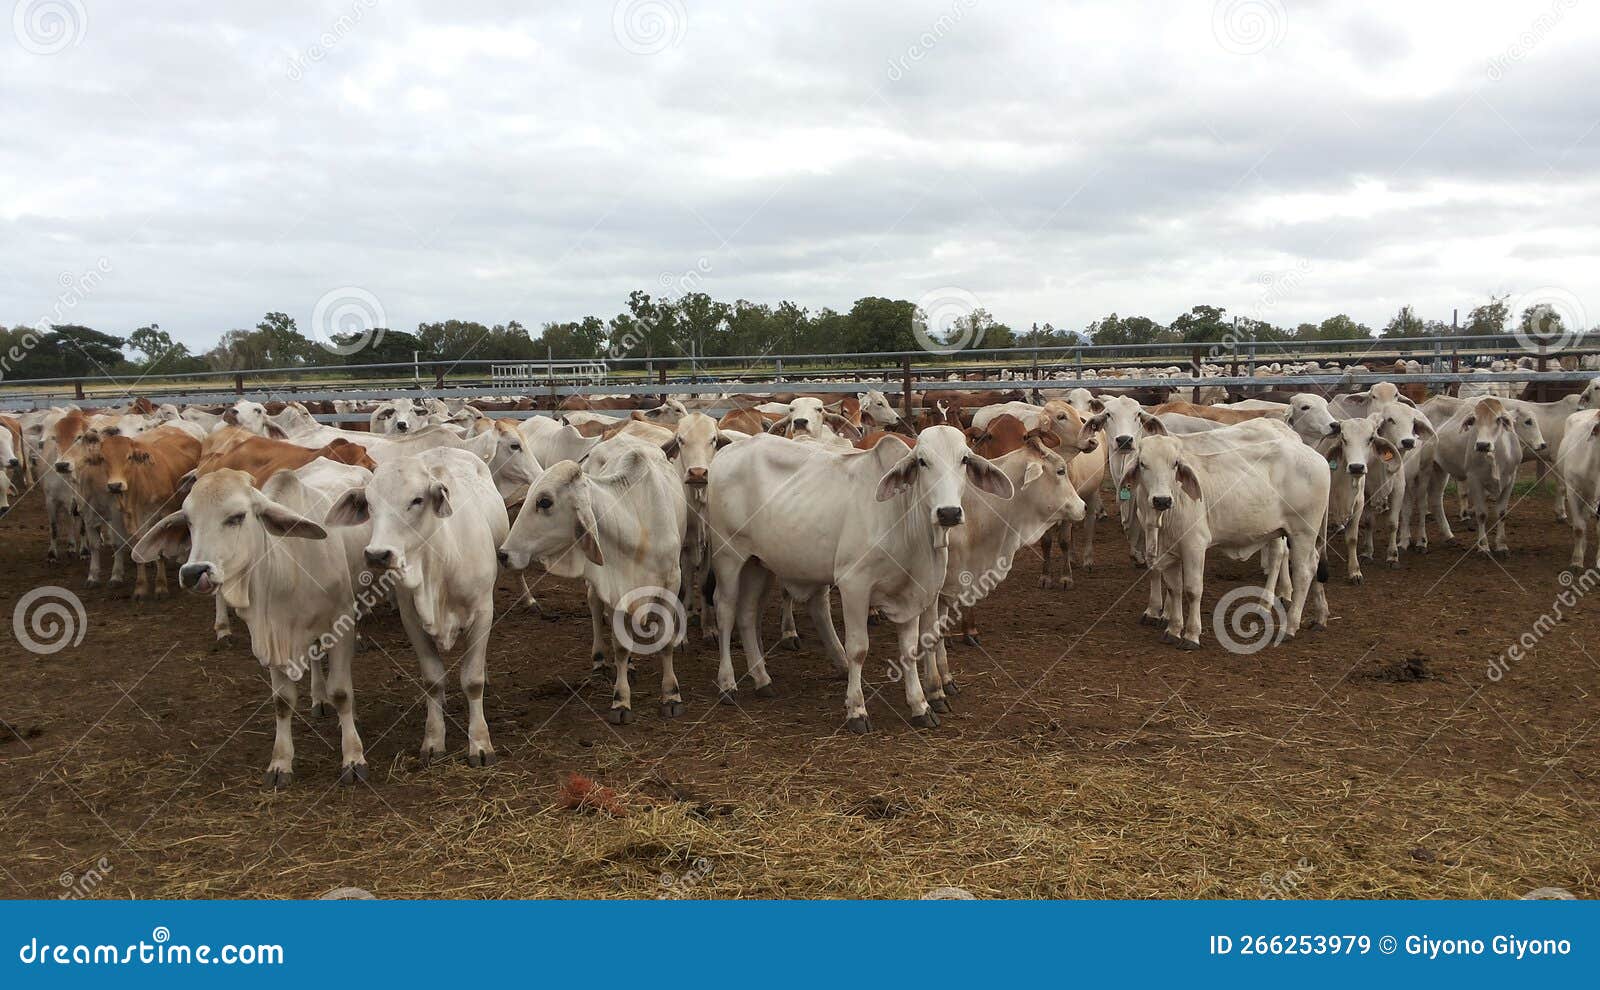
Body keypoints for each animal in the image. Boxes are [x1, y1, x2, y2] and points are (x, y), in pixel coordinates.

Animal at [132, 460, 375, 787]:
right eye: (189, 521)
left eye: (236, 517)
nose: (194, 572)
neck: (288, 567)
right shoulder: (270, 635)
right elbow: (282, 701)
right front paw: (280, 763)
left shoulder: (341, 623)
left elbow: (342, 692)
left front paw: (352, 757)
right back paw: (318, 698)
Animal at [325, 447, 510, 767]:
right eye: (370, 504)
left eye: (417, 500)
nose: (378, 554)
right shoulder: (411, 619)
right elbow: (433, 680)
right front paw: (434, 740)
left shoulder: (483, 612)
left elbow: (473, 680)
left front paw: (480, 743)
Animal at [705, 425, 1014, 731]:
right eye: (922, 461)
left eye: (964, 459)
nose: (948, 512)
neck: (904, 521)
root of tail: (726, 453)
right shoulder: (855, 586)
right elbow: (858, 649)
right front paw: (857, 710)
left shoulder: (913, 592)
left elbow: (910, 649)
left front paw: (920, 705)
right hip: (728, 556)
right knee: (726, 611)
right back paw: (727, 685)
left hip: (758, 564)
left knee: (747, 614)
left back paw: (762, 680)